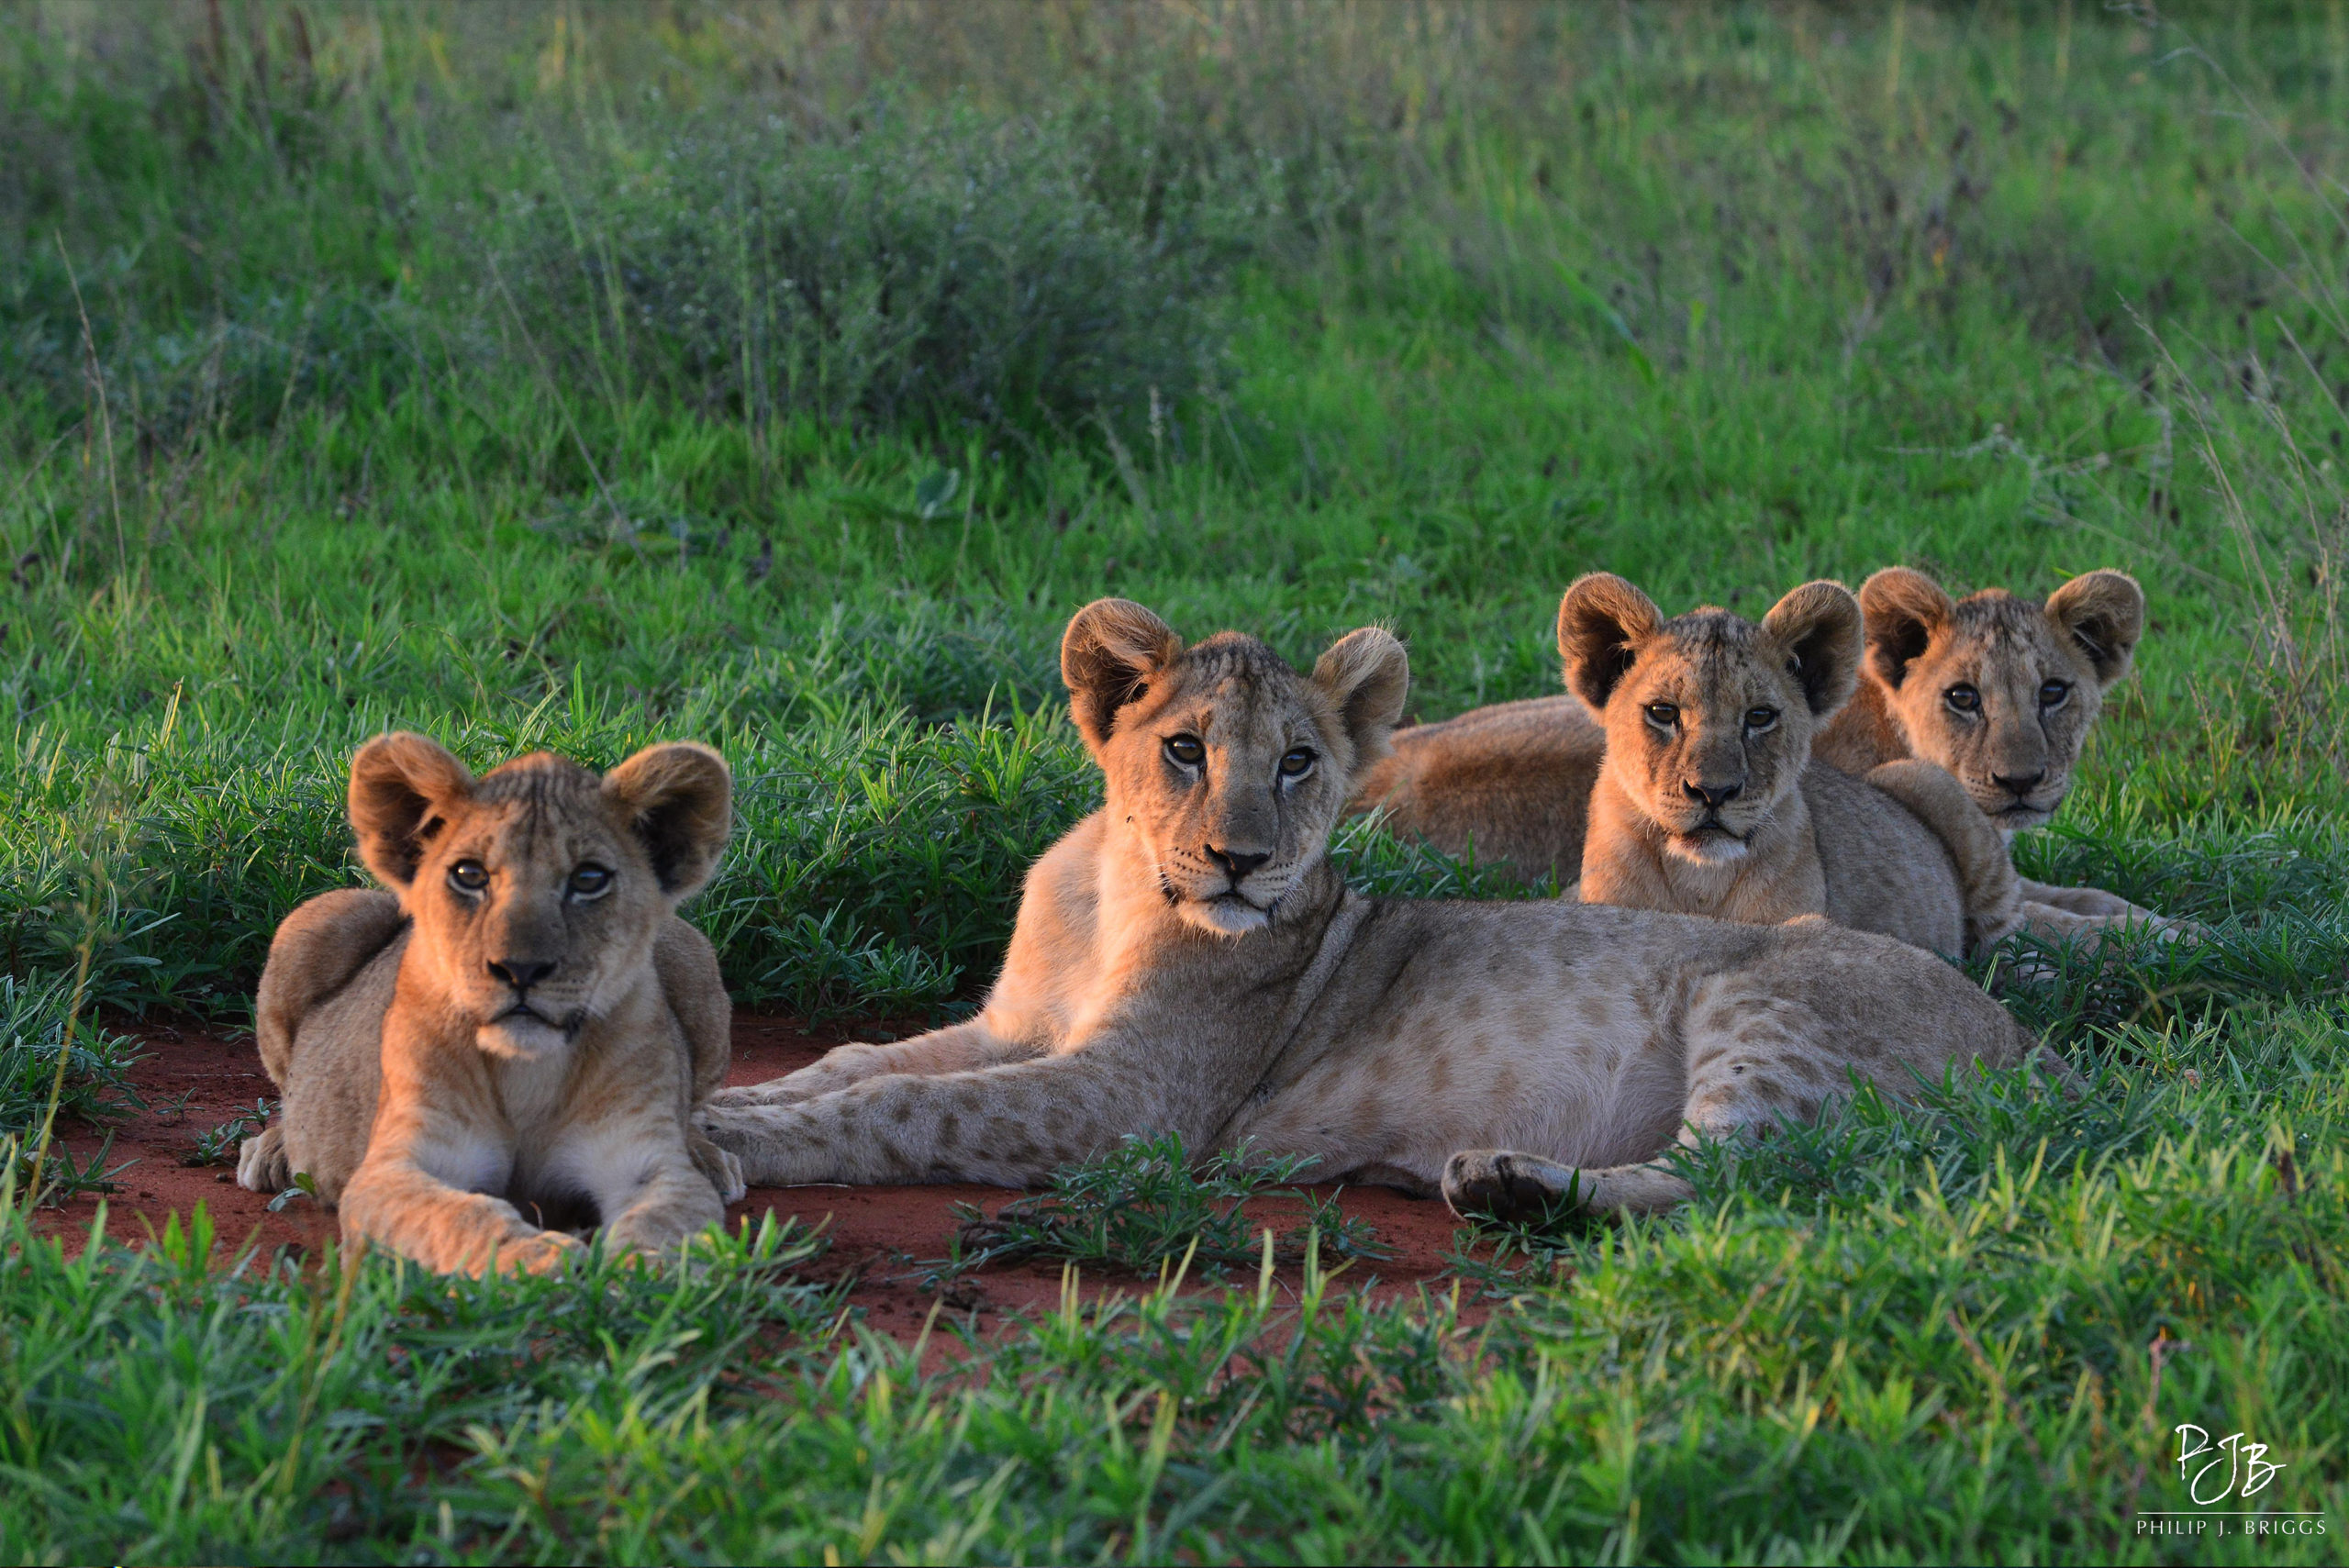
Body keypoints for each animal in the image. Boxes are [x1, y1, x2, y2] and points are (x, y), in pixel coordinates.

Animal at [235, 733, 742, 1275]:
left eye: (588, 879)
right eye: (469, 874)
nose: (520, 969)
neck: (526, 1072)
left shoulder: (644, 1163)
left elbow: (664, 1226)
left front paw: (638, 1274)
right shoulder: (398, 1167)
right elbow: (459, 1218)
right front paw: (541, 1260)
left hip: (691, 956)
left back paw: (710, 1159)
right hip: (315, 921)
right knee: (288, 1086)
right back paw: (274, 1152)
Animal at [697, 599, 2062, 1222]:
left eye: (1300, 762)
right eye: (1184, 748)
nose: (1240, 862)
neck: (1111, 892)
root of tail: (2024, 1043)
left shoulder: (1125, 1103)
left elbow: (898, 1107)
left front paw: (731, 1142)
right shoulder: (1016, 1026)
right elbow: (858, 1056)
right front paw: (733, 1098)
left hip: (1763, 993)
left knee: (1736, 1182)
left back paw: (1510, 1181)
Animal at [1353, 568, 2168, 928]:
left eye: (2054, 691)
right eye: (1963, 697)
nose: (2022, 780)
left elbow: (2090, 896)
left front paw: (2173, 923)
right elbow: (2067, 924)